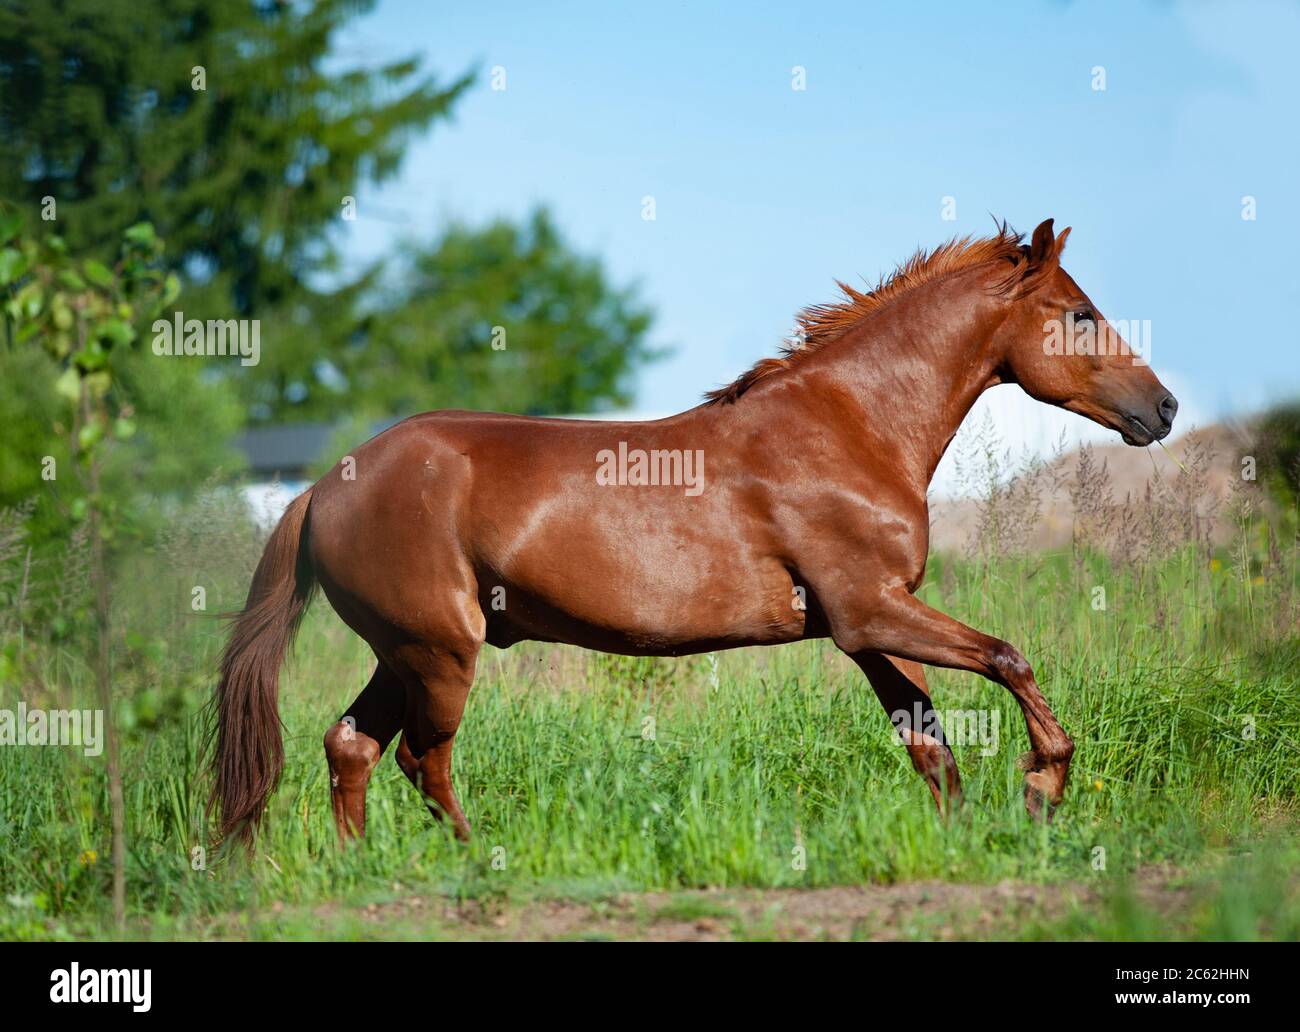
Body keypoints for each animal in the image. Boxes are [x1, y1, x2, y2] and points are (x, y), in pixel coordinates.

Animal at [208, 218, 1178, 845]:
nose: (1163, 408)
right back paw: (478, 856)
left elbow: (929, 743)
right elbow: (1007, 656)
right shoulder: (871, 608)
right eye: (1080, 312)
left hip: (405, 649)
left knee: (352, 746)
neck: (848, 427)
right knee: (421, 758)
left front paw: (967, 839)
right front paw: (1044, 785)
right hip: (441, 651)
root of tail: (325, 488)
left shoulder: (863, 628)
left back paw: (360, 869)